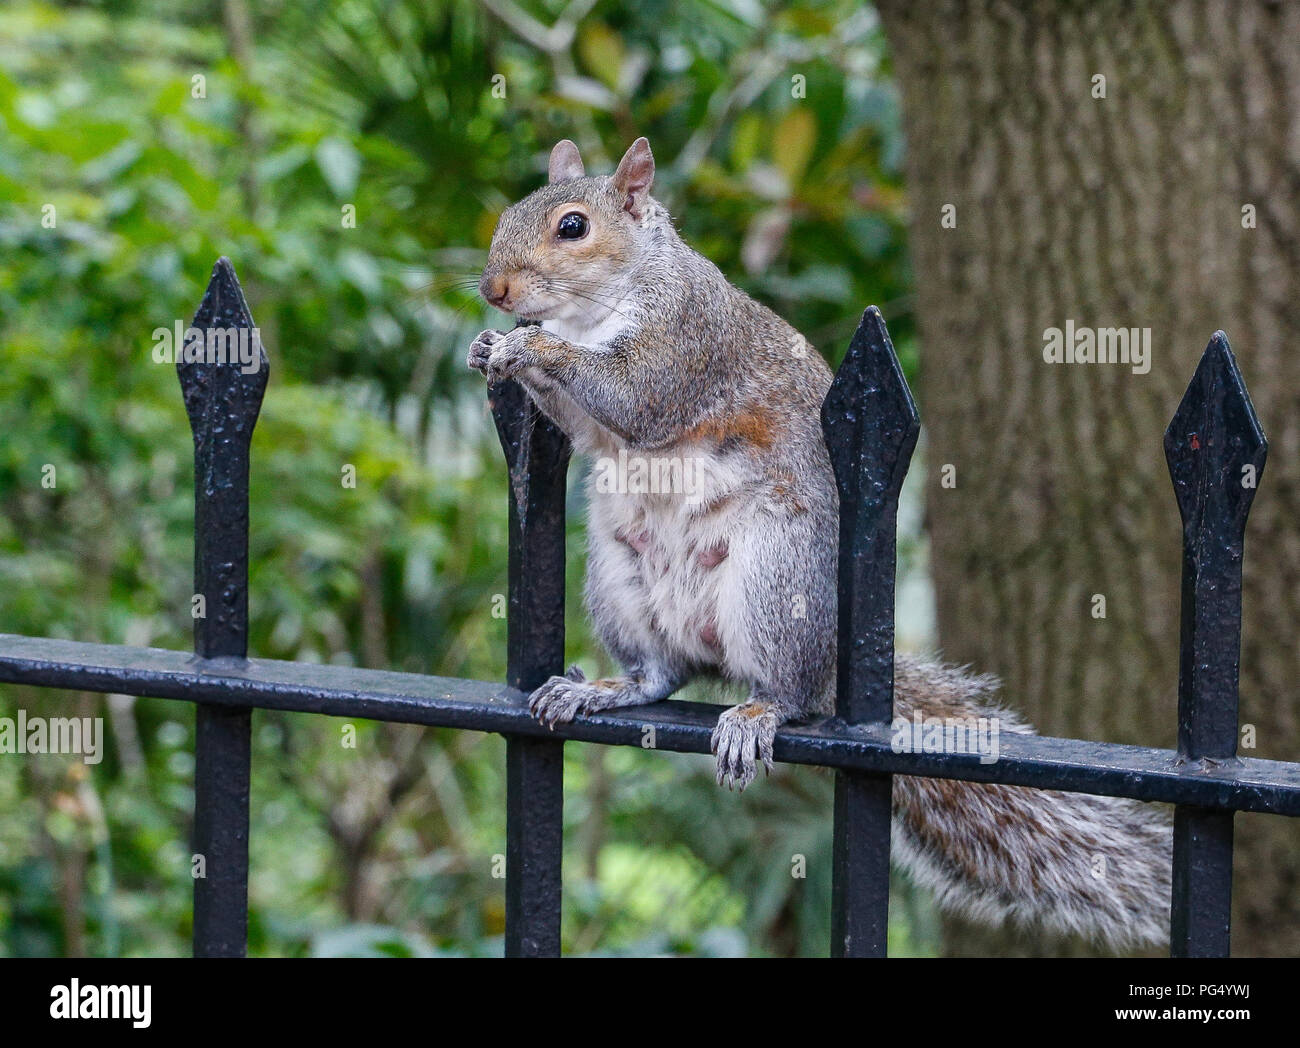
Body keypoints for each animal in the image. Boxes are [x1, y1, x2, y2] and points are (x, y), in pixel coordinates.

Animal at [468, 137, 1172, 951]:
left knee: (792, 696)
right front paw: (490, 347)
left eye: (573, 227)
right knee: (661, 675)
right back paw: (604, 689)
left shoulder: (686, 341)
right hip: (621, 582)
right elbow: (584, 428)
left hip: (776, 585)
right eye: (506, 214)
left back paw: (758, 716)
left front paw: (531, 346)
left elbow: (633, 396)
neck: (597, 305)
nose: (494, 291)